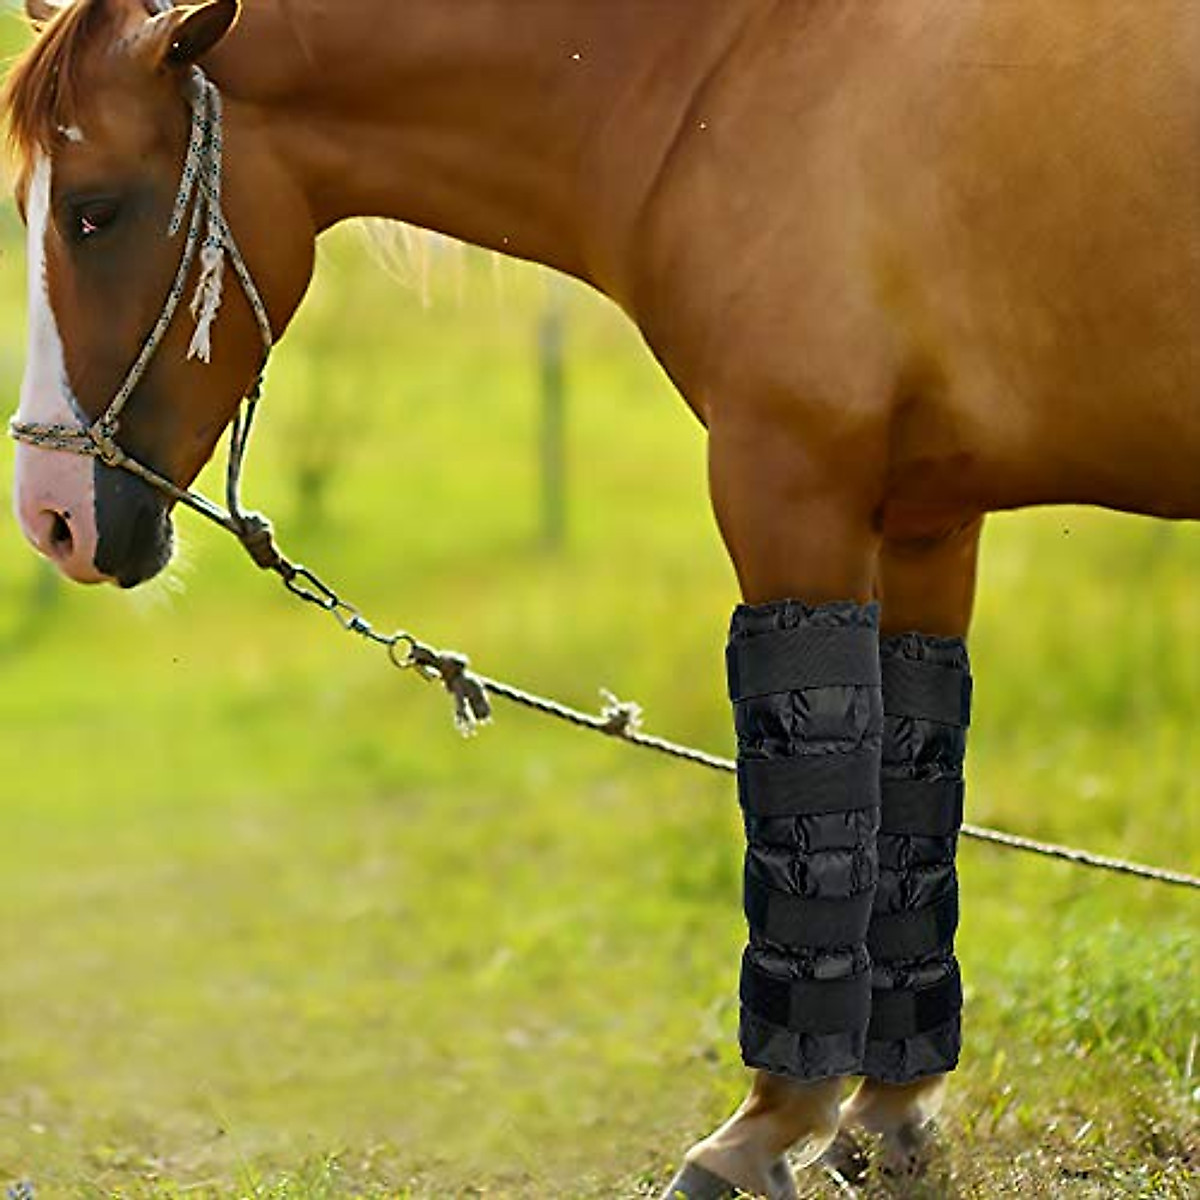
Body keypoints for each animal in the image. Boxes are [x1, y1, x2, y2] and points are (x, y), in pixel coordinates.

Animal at [4, 1, 1197, 1195]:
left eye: (94, 211)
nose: (51, 516)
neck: (727, 77)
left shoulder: (791, 485)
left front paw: (764, 1130)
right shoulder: (925, 522)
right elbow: (908, 805)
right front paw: (886, 1115)